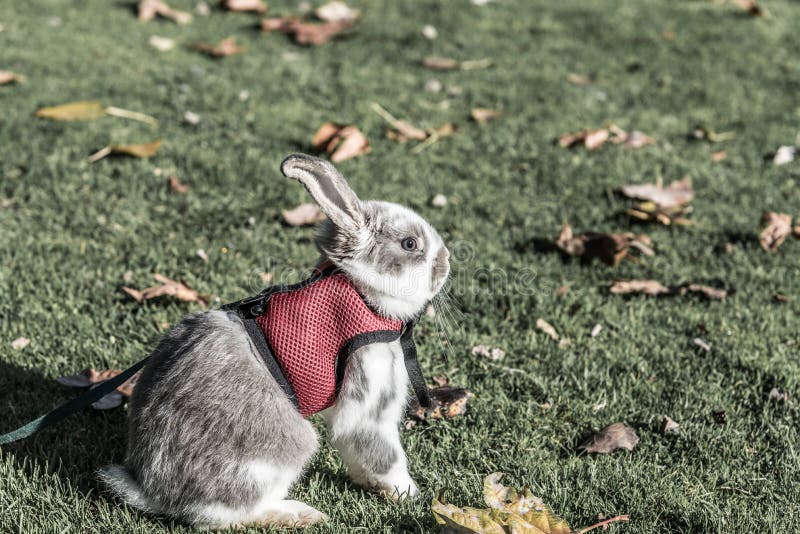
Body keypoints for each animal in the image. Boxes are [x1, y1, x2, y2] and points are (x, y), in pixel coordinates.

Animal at [99, 154, 451, 529]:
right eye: (410, 244)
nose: (446, 263)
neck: (362, 292)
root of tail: (154, 492)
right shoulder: (370, 400)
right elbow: (380, 451)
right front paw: (406, 491)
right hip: (284, 450)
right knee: (220, 516)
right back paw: (297, 513)